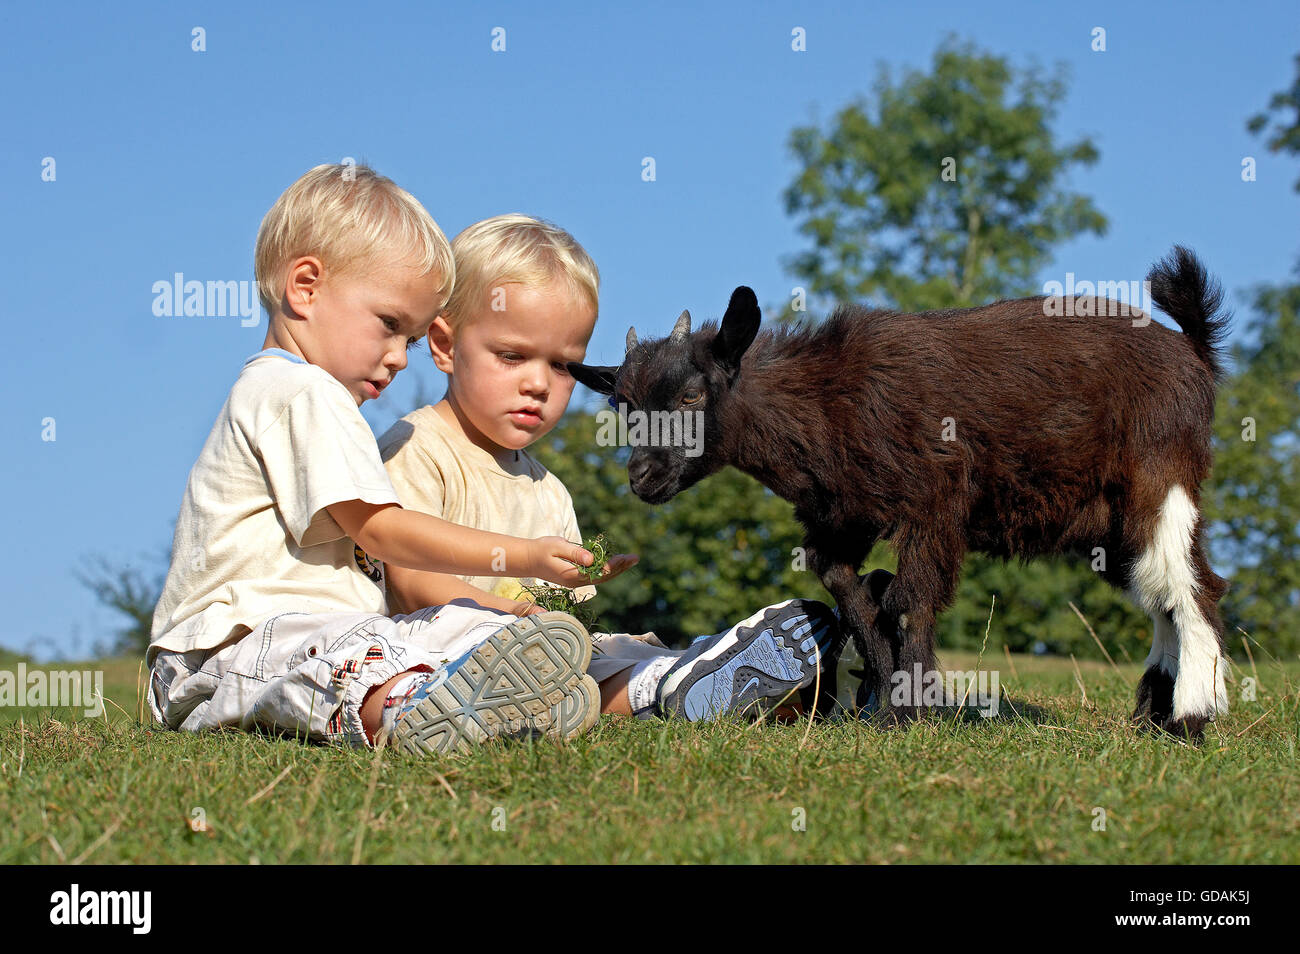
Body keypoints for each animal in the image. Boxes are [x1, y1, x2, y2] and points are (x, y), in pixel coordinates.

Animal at [570, 246, 1232, 741]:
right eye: (622, 405)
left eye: (691, 395)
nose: (643, 478)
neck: (826, 398)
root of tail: (1192, 352)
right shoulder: (842, 518)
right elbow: (856, 597)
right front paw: (886, 702)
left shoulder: (932, 504)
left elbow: (906, 599)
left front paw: (908, 711)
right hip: (1109, 521)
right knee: (1160, 594)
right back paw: (1153, 714)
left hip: (1161, 476)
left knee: (1194, 588)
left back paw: (1191, 718)